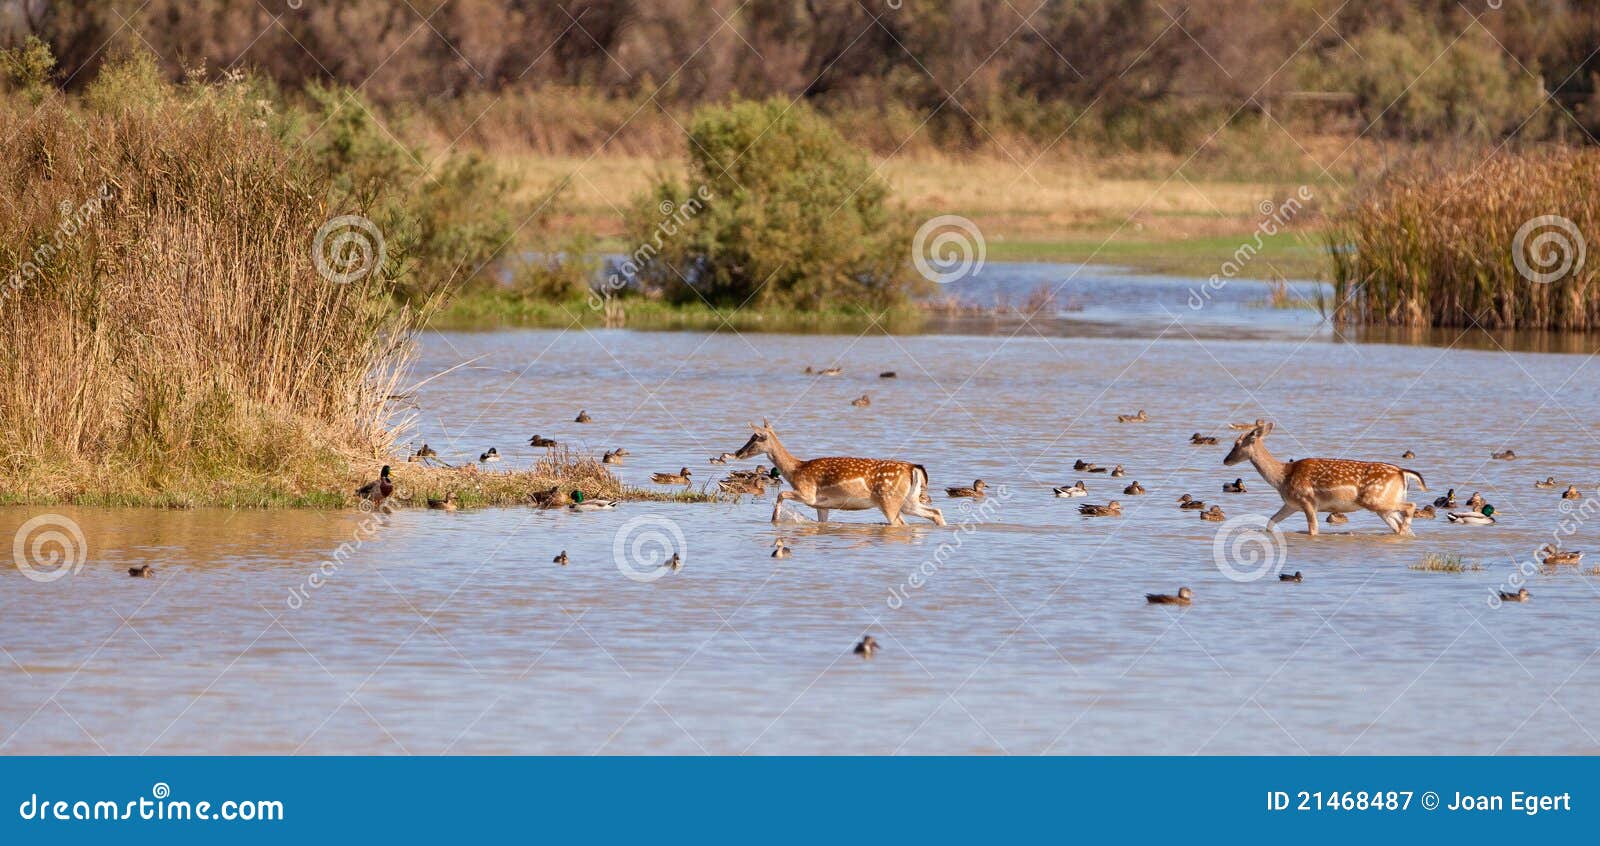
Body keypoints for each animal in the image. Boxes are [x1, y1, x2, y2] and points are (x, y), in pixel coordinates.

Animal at [732, 420, 946, 526]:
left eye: (755, 437)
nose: (738, 452)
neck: (795, 471)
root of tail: (914, 468)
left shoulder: (808, 493)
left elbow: (781, 494)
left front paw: (775, 518)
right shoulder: (821, 504)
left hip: (889, 500)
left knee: (902, 523)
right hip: (909, 501)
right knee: (935, 512)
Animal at [1223, 421, 1426, 535]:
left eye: (1237, 443)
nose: (1226, 460)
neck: (1282, 478)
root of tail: (1402, 473)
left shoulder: (1307, 500)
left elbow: (1313, 530)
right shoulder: (1291, 504)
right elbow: (1270, 522)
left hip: (1376, 500)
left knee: (1411, 506)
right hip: (1384, 506)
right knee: (1399, 524)